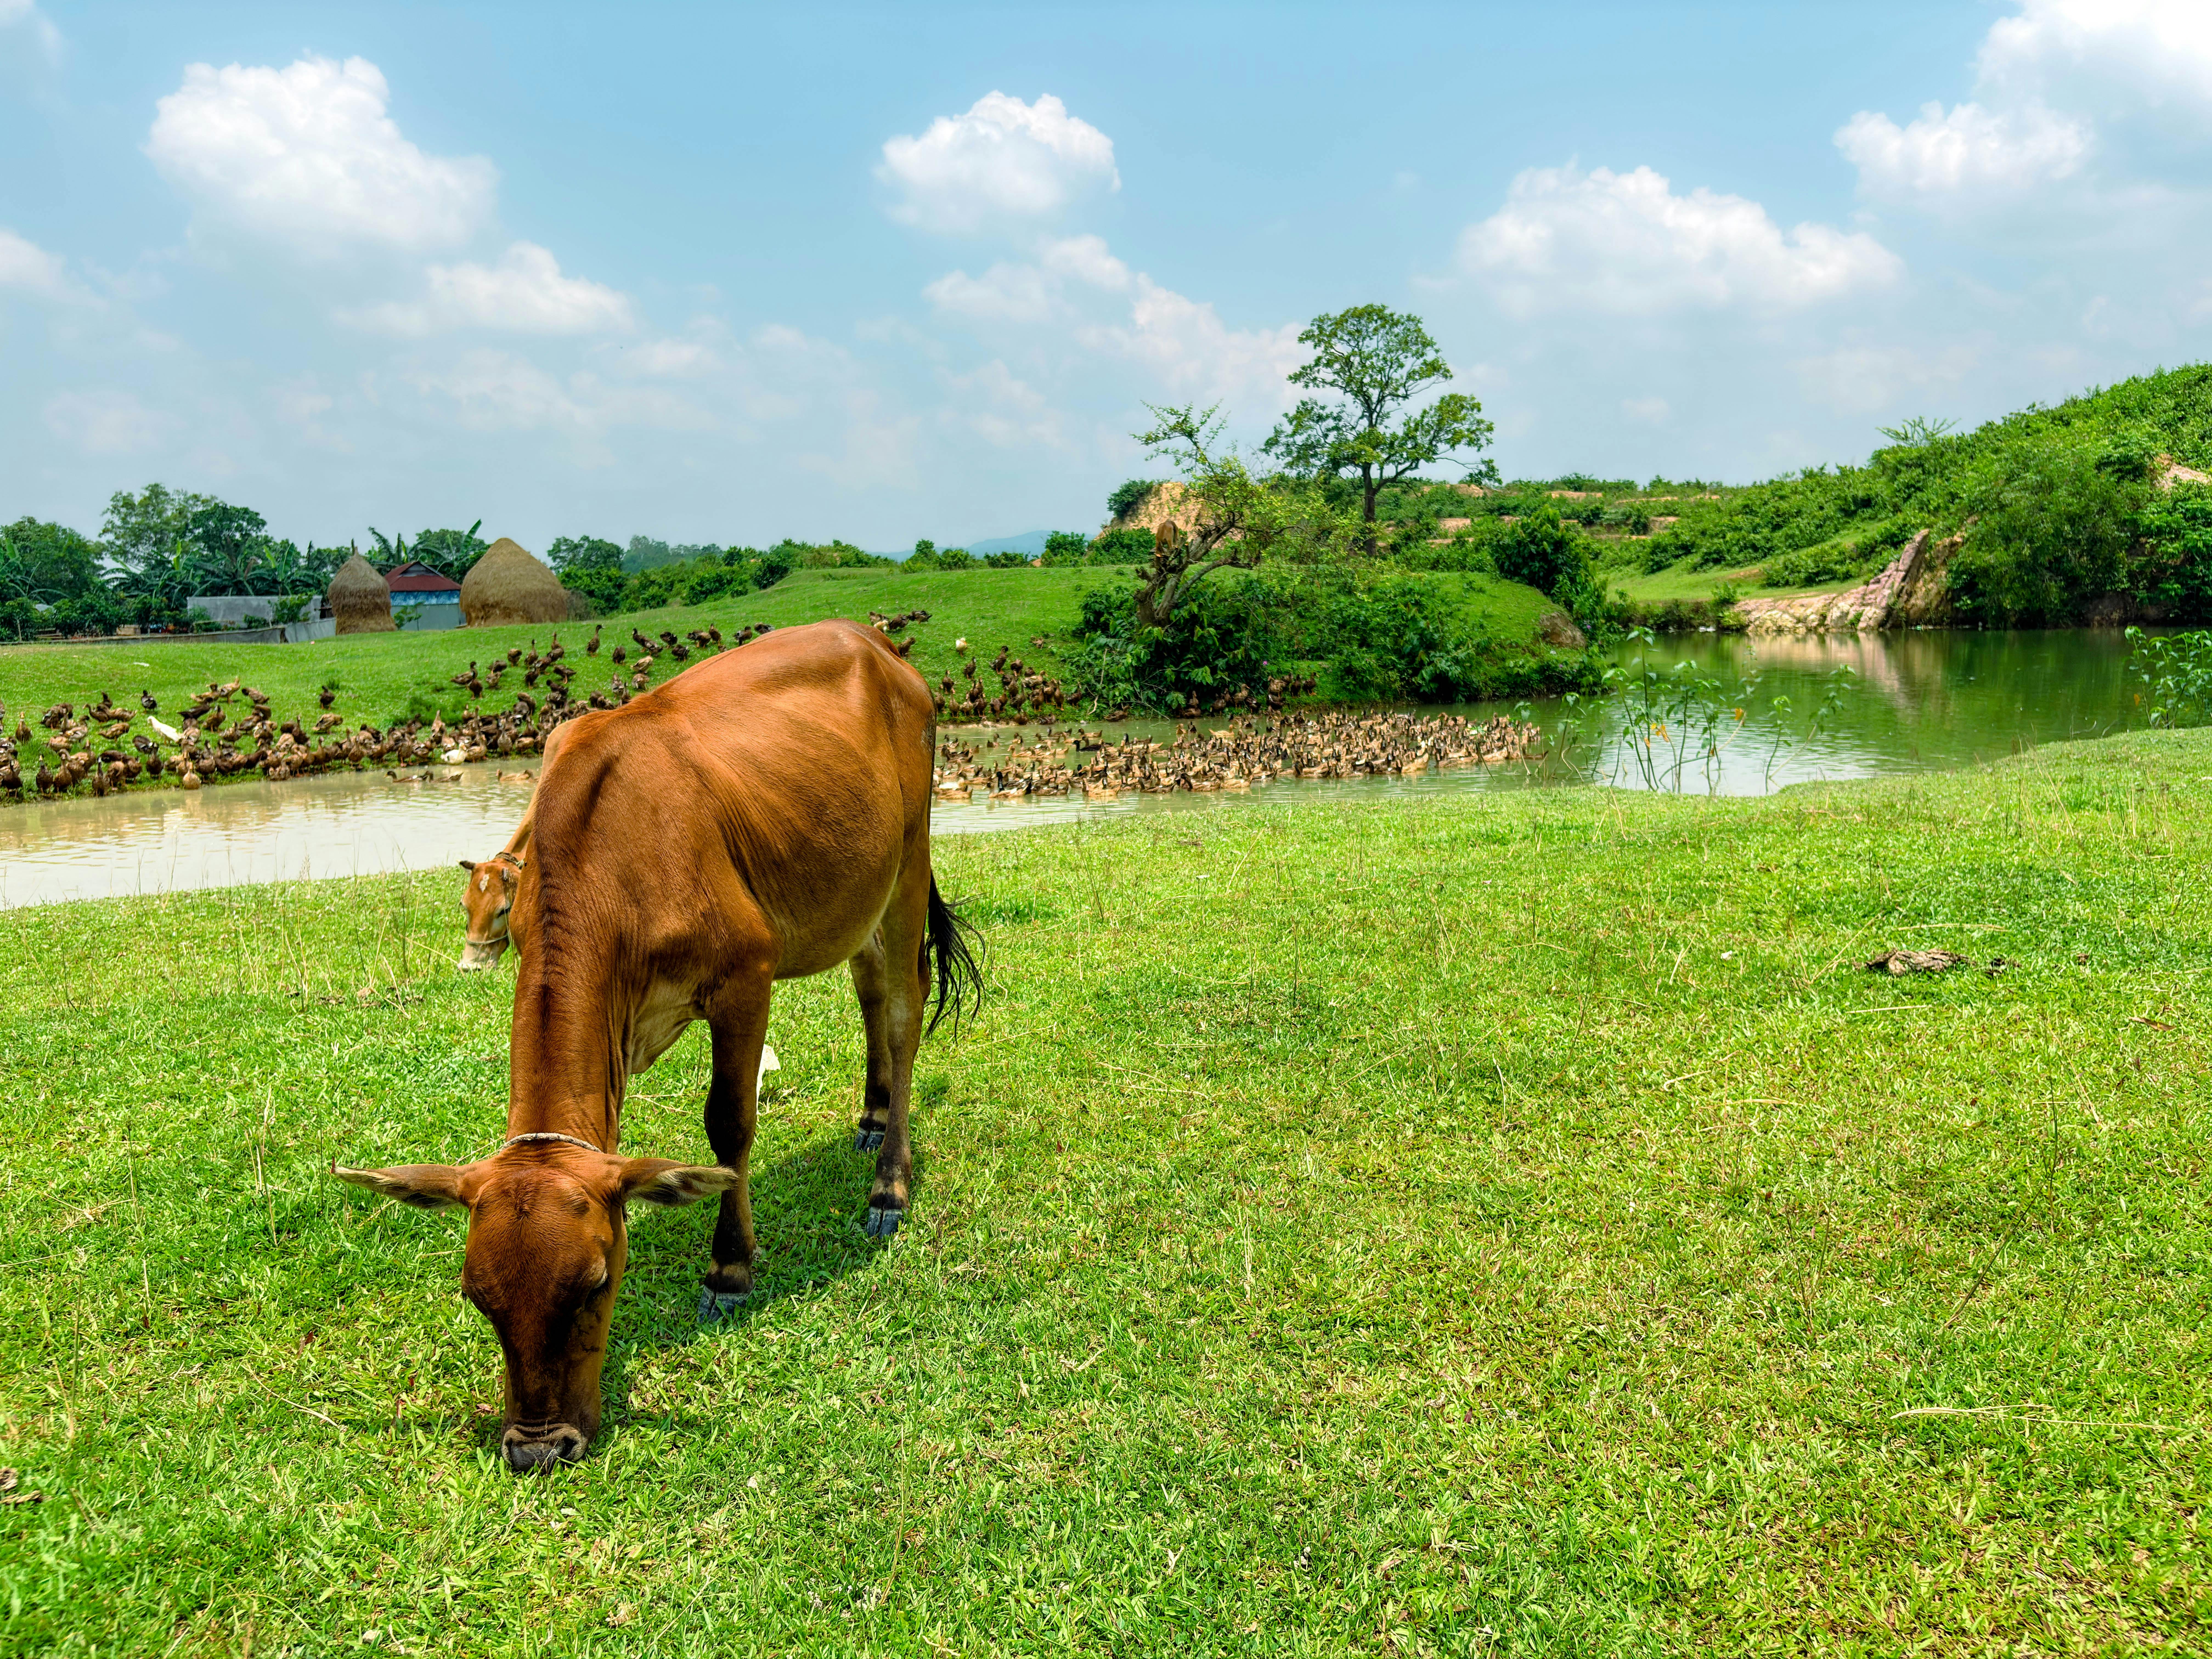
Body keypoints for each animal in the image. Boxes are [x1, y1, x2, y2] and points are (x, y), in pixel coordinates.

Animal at [334, 621, 981, 1471]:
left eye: (596, 1283)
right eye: (478, 1297)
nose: (539, 1448)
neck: (610, 864)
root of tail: (878, 642)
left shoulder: (746, 977)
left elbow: (729, 1125)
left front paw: (730, 1268)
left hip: (908, 860)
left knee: (904, 1011)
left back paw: (888, 1187)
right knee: (871, 988)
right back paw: (871, 1119)